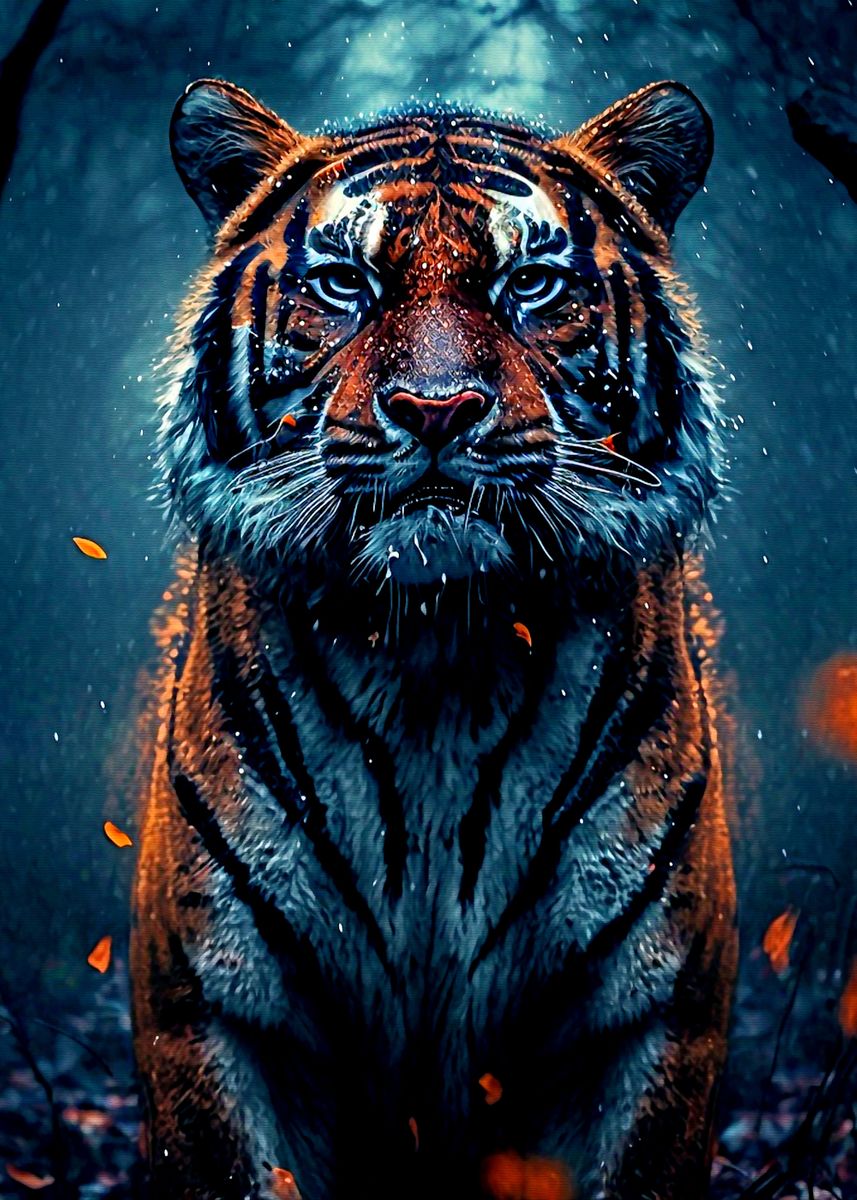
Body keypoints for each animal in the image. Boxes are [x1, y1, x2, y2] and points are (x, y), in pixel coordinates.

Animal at [131, 76, 738, 1200]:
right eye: (344, 283)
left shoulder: (651, 1020)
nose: (436, 409)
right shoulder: (212, 1009)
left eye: (530, 285)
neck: (435, 656)